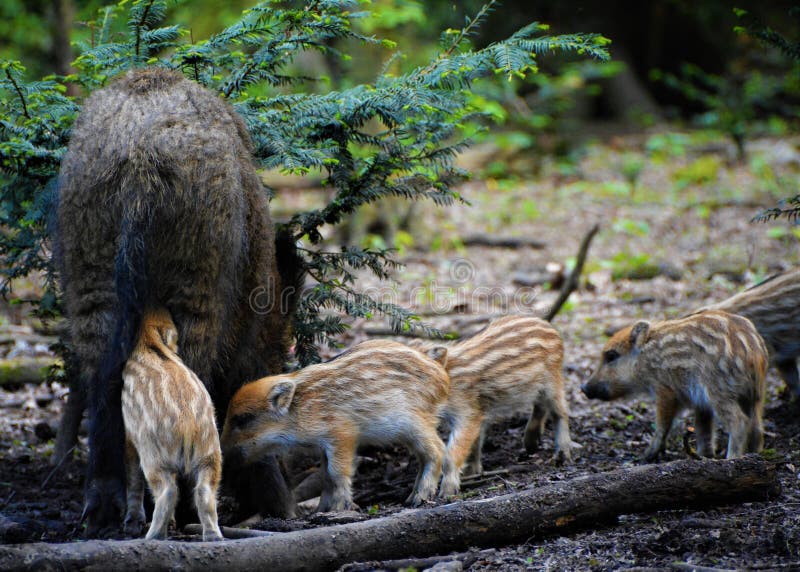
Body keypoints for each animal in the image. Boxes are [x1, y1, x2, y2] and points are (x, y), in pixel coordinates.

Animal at [122, 307, 223, 541]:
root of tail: (188, 424)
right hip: (209, 451)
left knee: (168, 491)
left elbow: (132, 477)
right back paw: (213, 537)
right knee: (204, 491)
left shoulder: (129, 435)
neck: (149, 343)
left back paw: (152, 537)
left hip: (154, 456)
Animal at [220, 340, 450, 512]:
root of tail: (443, 376)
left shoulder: (342, 434)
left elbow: (337, 473)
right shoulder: (323, 445)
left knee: (437, 449)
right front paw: (320, 511)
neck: (301, 410)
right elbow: (325, 478)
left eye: (244, 419)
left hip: (416, 423)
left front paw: (340, 509)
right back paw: (412, 497)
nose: (223, 453)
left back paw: (419, 498)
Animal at [410, 315, 572, 497]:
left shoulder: (467, 411)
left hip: (552, 380)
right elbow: (474, 442)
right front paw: (472, 473)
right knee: (540, 406)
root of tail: (549, 326)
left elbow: (453, 453)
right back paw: (530, 444)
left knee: (560, 411)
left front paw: (448, 492)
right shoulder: (477, 411)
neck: (449, 378)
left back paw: (562, 454)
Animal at [582, 310, 767, 461]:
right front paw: (703, 456)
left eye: (611, 356)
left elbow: (663, 425)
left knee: (739, 421)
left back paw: (731, 458)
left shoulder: (665, 390)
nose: (583, 387)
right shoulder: (700, 403)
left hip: (719, 391)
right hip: (754, 396)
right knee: (757, 427)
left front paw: (645, 456)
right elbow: (703, 428)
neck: (644, 358)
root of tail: (754, 352)